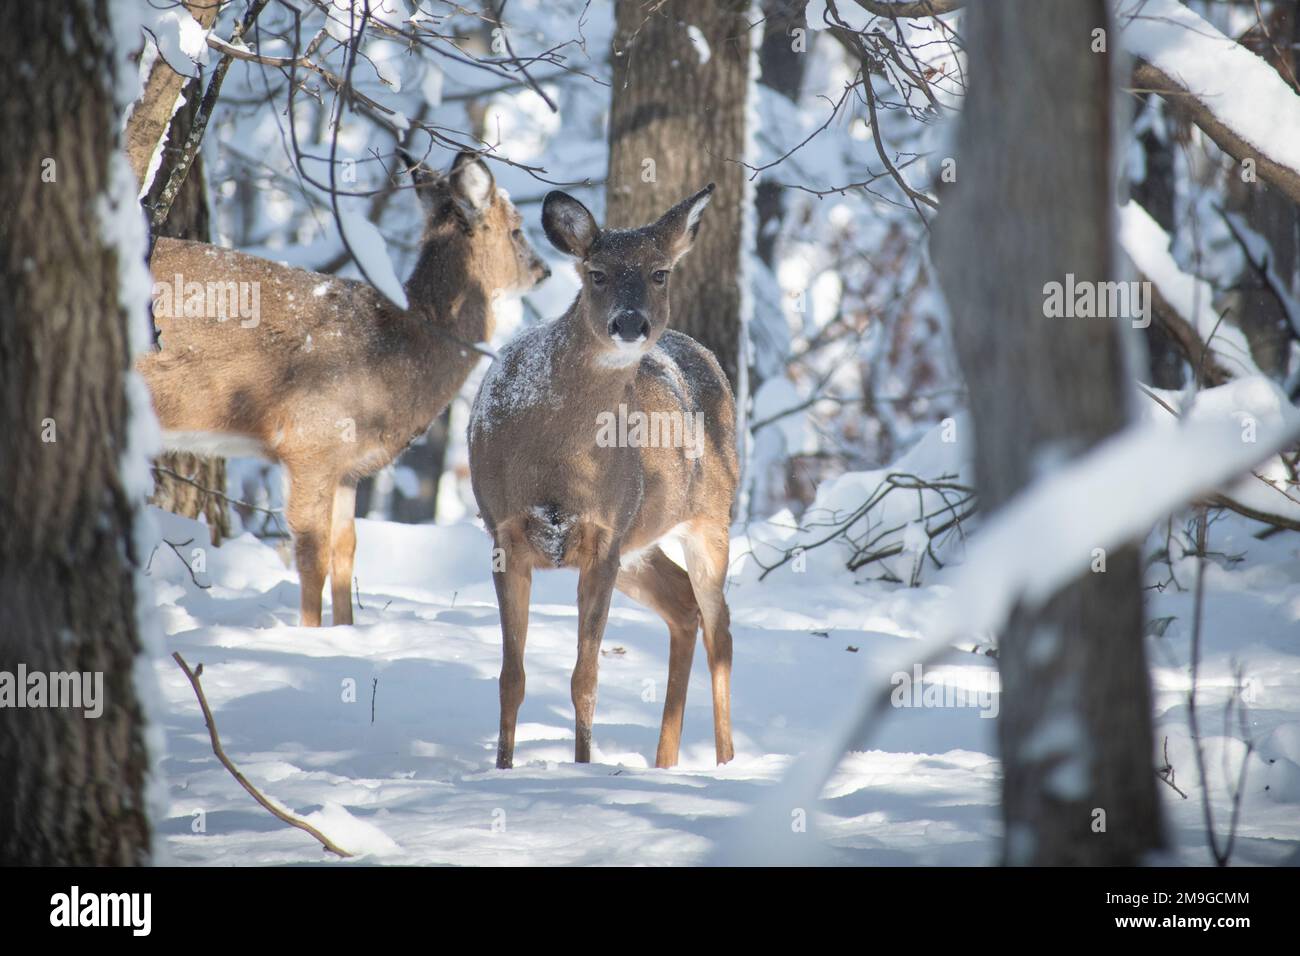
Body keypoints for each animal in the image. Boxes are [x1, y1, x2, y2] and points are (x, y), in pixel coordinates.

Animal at [139, 151, 549, 627]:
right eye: (517, 228)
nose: (544, 270)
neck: (393, 352)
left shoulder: (349, 466)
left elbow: (346, 549)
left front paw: (346, 630)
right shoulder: (310, 440)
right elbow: (311, 551)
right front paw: (310, 633)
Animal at [468, 184, 738, 771]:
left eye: (659, 273)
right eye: (596, 273)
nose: (631, 323)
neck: (558, 464)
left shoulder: (604, 536)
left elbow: (584, 678)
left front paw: (583, 766)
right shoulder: (504, 532)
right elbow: (511, 678)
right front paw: (502, 769)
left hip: (710, 516)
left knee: (720, 629)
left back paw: (727, 762)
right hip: (641, 540)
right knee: (683, 609)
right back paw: (664, 762)